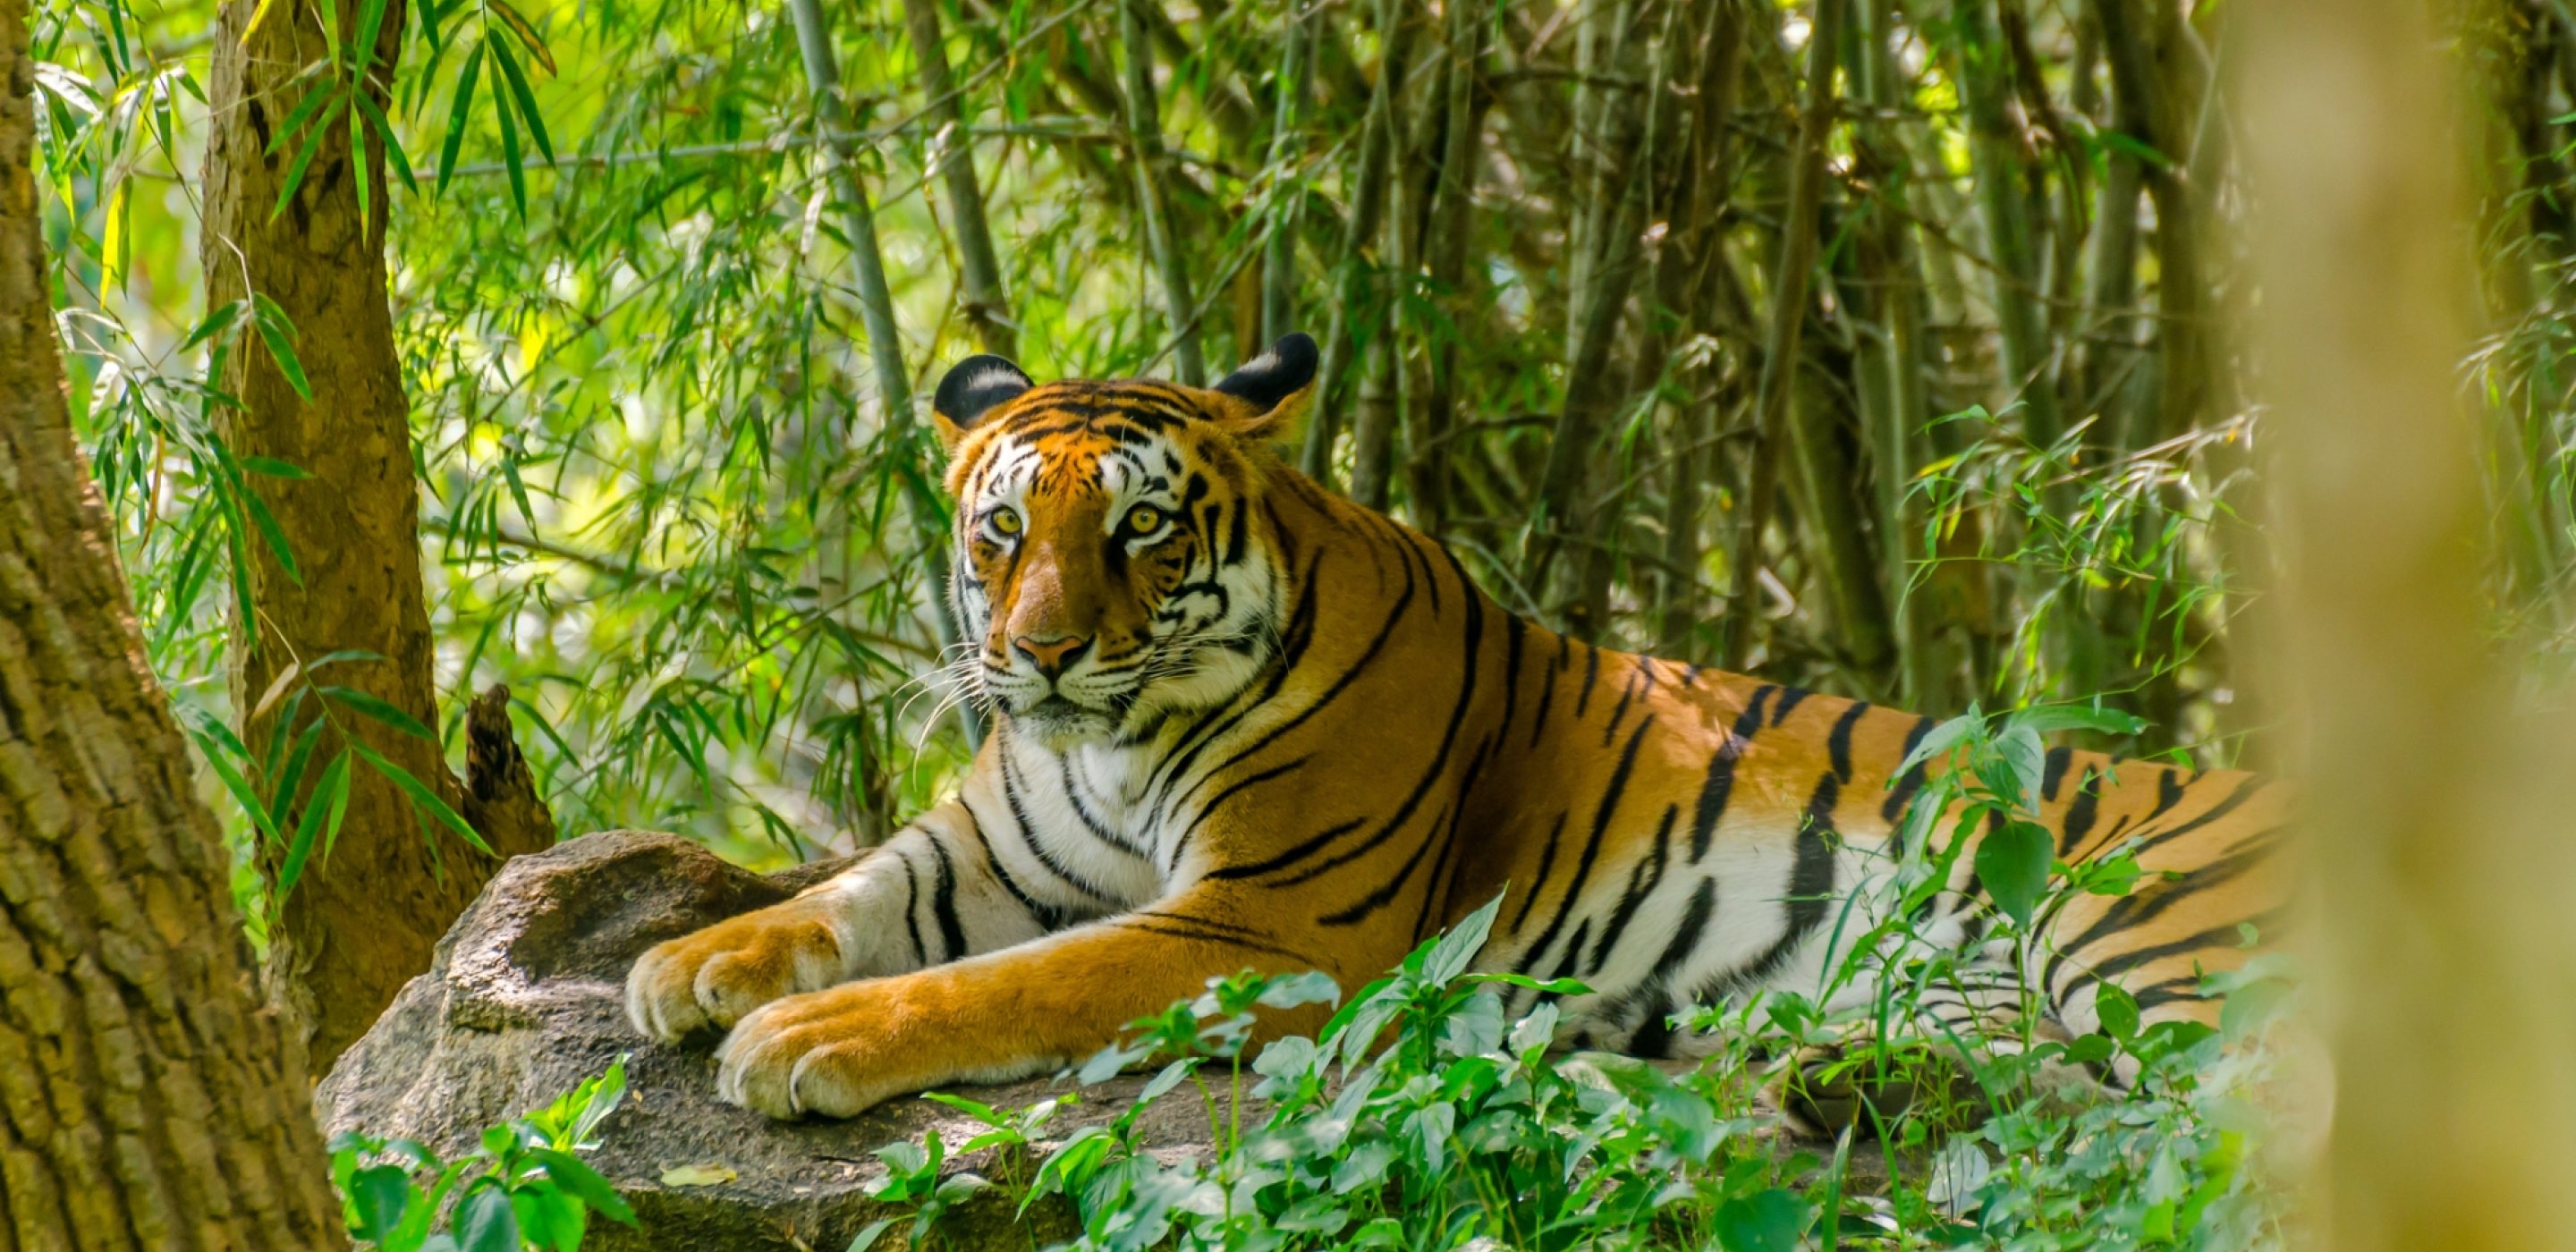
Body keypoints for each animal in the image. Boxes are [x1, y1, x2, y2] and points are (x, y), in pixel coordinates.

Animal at [624, 333, 2295, 1125]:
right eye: (1001, 530)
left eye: (1141, 529)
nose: (1036, 654)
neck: (1106, 734)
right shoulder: (983, 848)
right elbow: (848, 896)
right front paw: (690, 964)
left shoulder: (1267, 926)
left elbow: (1011, 983)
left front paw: (801, 1038)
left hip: (2127, 926)